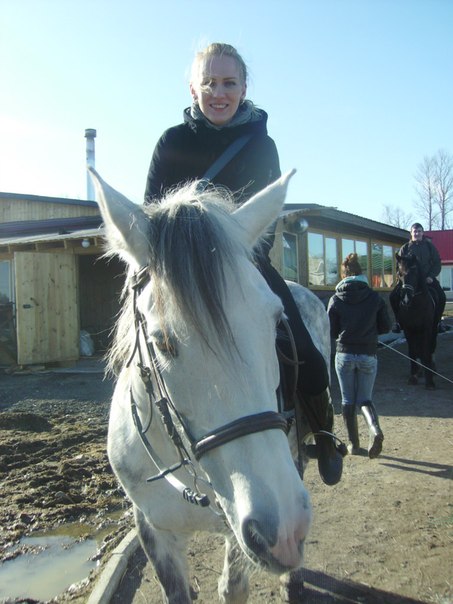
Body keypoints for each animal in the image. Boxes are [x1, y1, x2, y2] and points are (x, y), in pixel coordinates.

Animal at [88, 167, 331, 603]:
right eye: (163, 342)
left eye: (275, 323)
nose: (284, 530)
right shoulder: (154, 531)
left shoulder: (240, 530)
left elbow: (231, 586)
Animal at [394, 253, 438, 389]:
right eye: (399, 273)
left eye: (414, 272)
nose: (405, 298)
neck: (414, 306)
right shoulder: (408, 329)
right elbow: (412, 351)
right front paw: (413, 376)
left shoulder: (427, 329)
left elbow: (426, 350)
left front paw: (430, 382)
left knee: (431, 347)